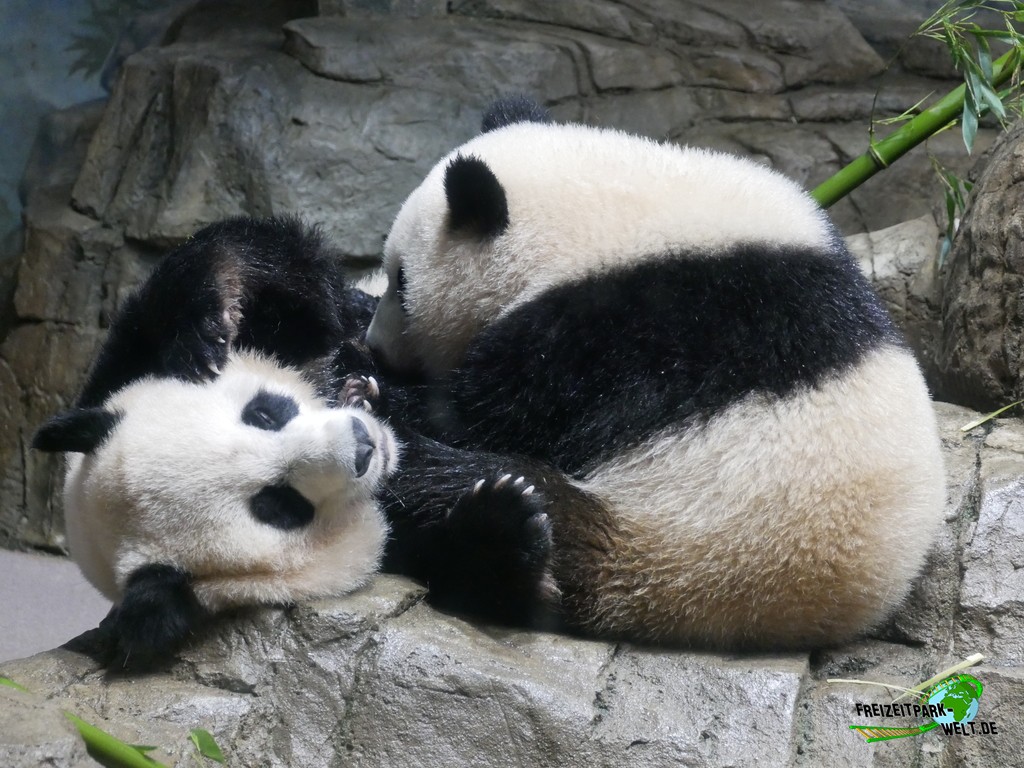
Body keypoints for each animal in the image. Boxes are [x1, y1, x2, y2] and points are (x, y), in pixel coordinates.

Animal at [360, 97, 947, 649]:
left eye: (401, 282)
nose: (375, 346)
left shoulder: (636, 326)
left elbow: (491, 411)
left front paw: (378, 390)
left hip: (691, 532)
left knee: (482, 500)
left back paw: (496, 524)